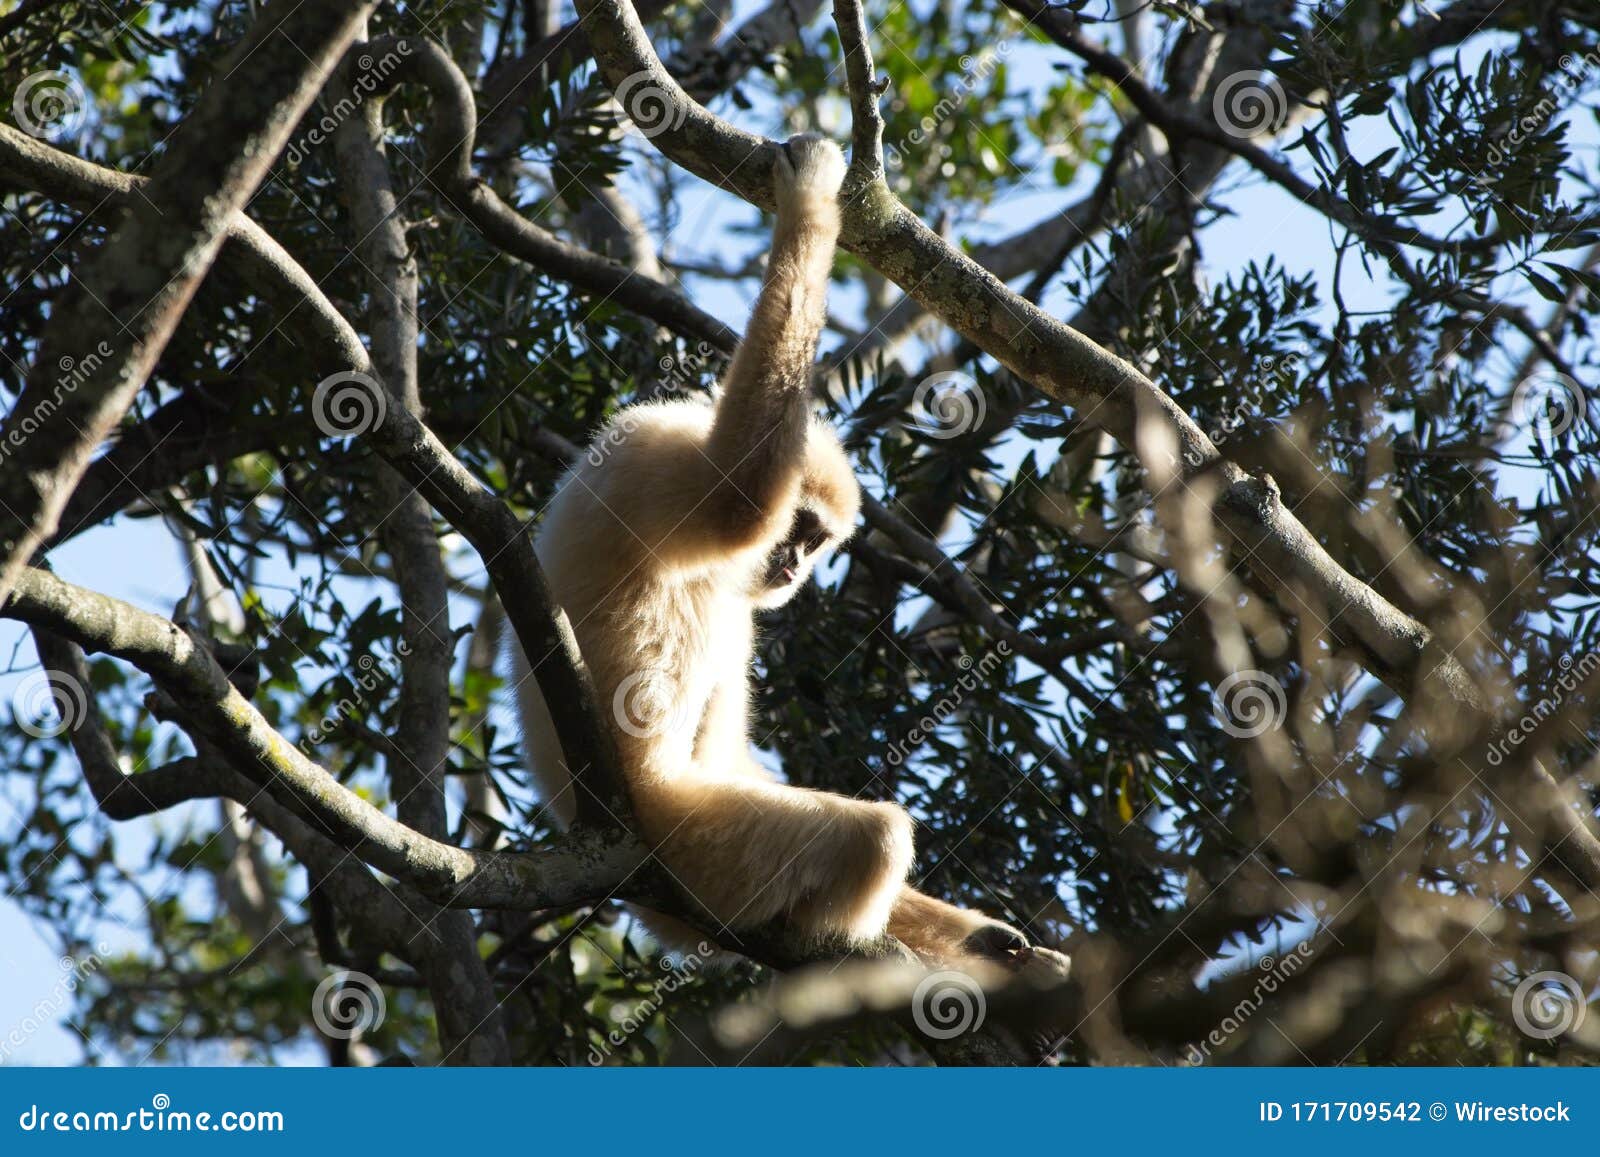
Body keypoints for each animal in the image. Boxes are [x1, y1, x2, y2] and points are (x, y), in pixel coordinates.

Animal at [512, 134, 1039, 966]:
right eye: (802, 534)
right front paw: (811, 206)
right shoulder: (652, 461)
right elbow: (738, 502)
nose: (793, 566)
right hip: (698, 850)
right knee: (872, 836)